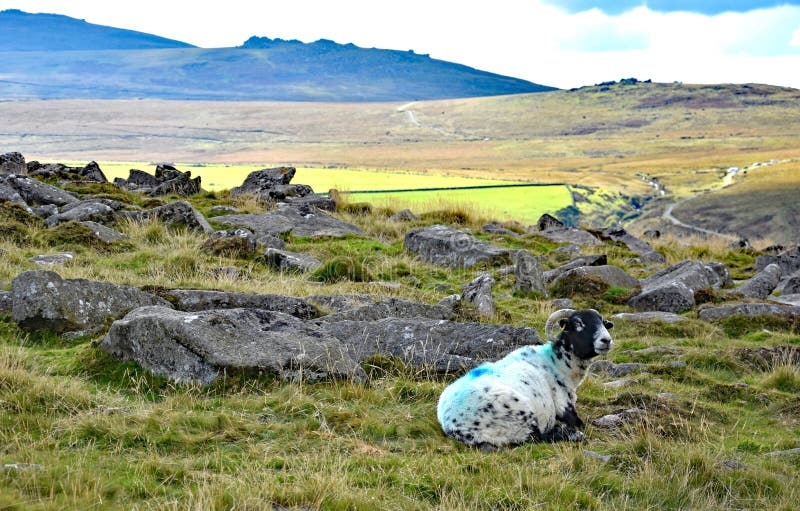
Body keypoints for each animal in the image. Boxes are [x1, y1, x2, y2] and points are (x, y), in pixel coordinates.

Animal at [437, 308, 613, 449]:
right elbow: (580, 423)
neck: (557, 363)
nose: (606, 340)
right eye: (578, 323)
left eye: (603, 322)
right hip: (519, 416)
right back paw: (572, 435)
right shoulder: (565, 405)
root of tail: (452, 423)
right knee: (537, 437)